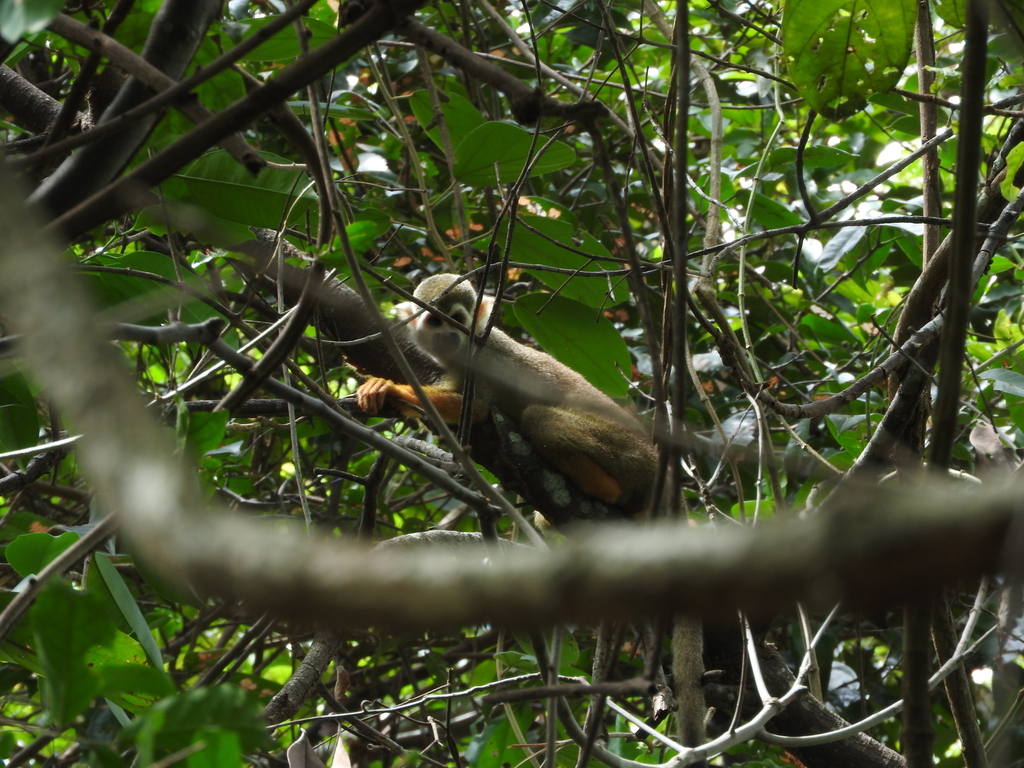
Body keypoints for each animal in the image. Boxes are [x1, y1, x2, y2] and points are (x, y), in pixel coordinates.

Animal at [355, 273, 706, 753]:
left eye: (457, 317)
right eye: (435, 319)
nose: (450, 334)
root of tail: (660, 467)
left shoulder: (484, 355)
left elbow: (475, 411)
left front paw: (387, 387)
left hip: (627, 454)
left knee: (541, 419)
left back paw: (604, 489)